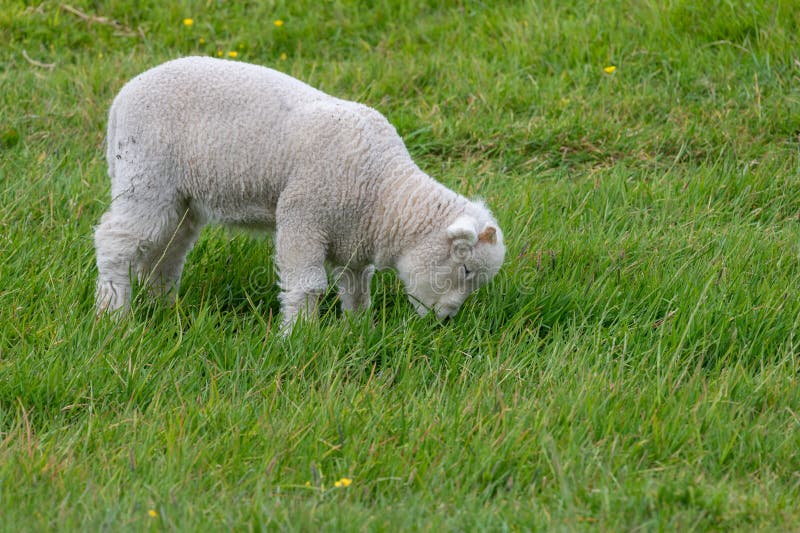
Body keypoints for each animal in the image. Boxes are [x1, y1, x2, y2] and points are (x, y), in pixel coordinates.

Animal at [94, 56, 506, 331]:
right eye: (465, 269)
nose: (446, 319)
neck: (383, 194)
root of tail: (122, 97)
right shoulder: (304, 214)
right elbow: (308, 285)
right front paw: (299, 335)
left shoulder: (352, 236)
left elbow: (357, 286)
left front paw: (359, 328)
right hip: (146, 177)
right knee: (115, 241)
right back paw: (113, 314)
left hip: (180, 198)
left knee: (167, 252)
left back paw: (162, 307)